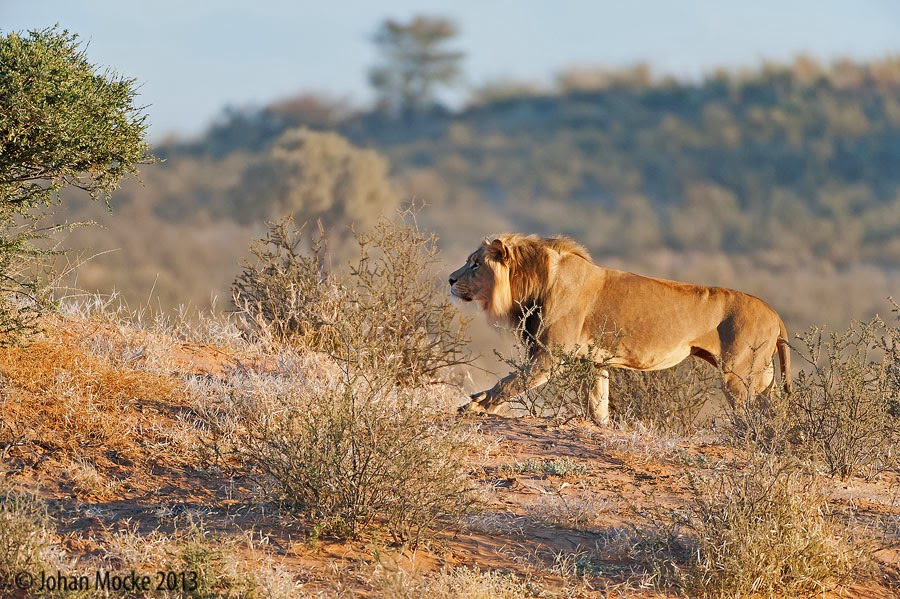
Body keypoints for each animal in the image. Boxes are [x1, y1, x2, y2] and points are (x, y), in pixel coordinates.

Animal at [448, 234, 791, 425]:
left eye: (476, 264)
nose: (450, 279)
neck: (532, 283)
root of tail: (775, 314)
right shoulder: (592, 362)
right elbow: (597, 404)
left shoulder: (549, 357)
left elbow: (507, 383)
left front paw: (473, 406)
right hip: (762, 377)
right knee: (774, 412)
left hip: (739, 375)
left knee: (751, 416)